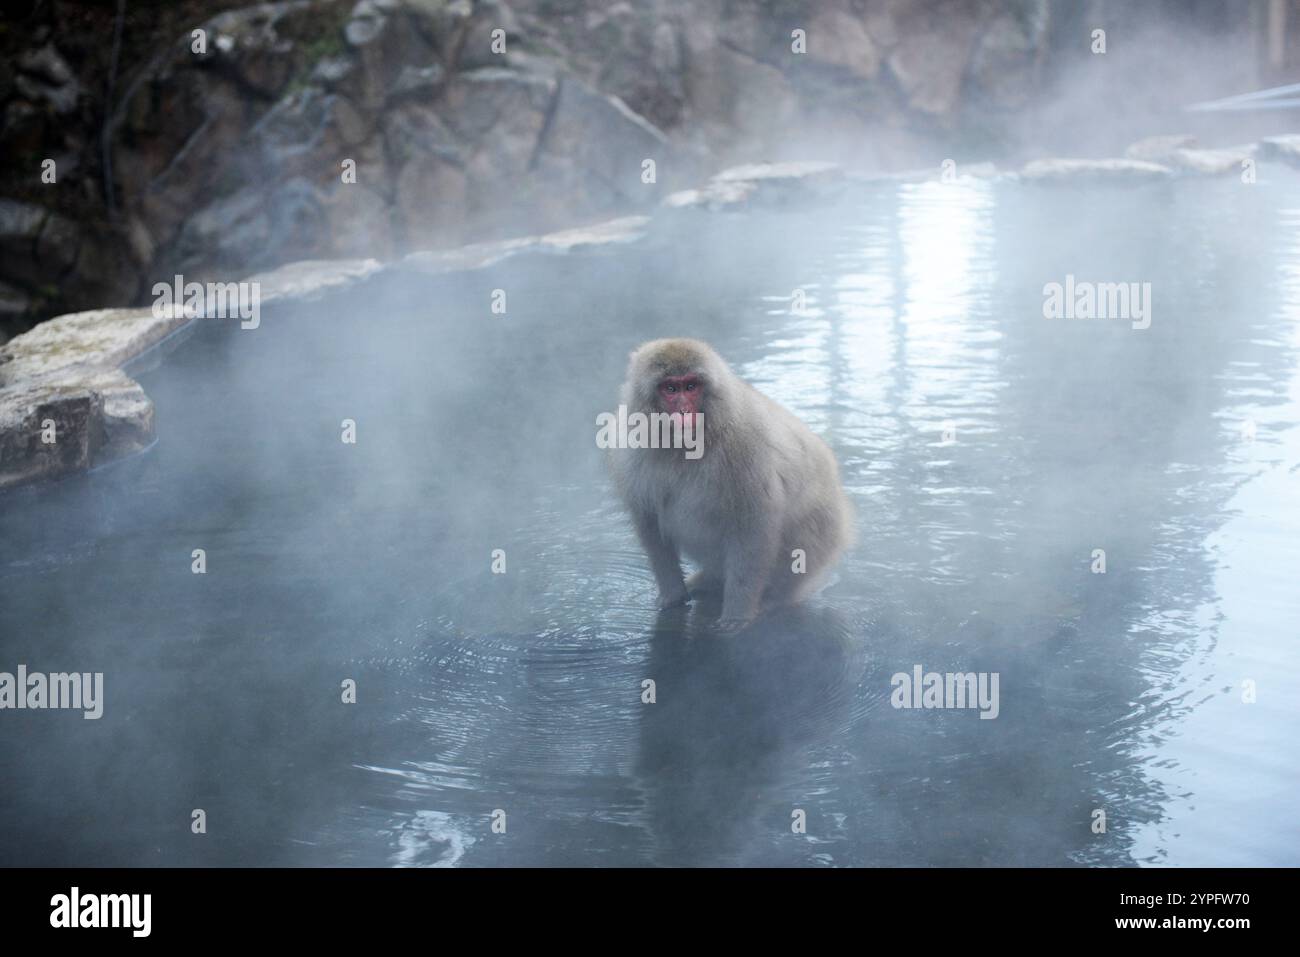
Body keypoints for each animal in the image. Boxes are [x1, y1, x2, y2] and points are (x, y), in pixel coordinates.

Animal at [608, 338, 853, 629]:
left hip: (823, 536)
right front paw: (672, 596)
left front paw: (738, 614)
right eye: (670, 388)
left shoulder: (745, 448)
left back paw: (775, 600)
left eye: (691, 386)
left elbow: (753, 528)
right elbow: (650, 523)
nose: (684, 412)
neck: (682, 449)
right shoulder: (632, 448)